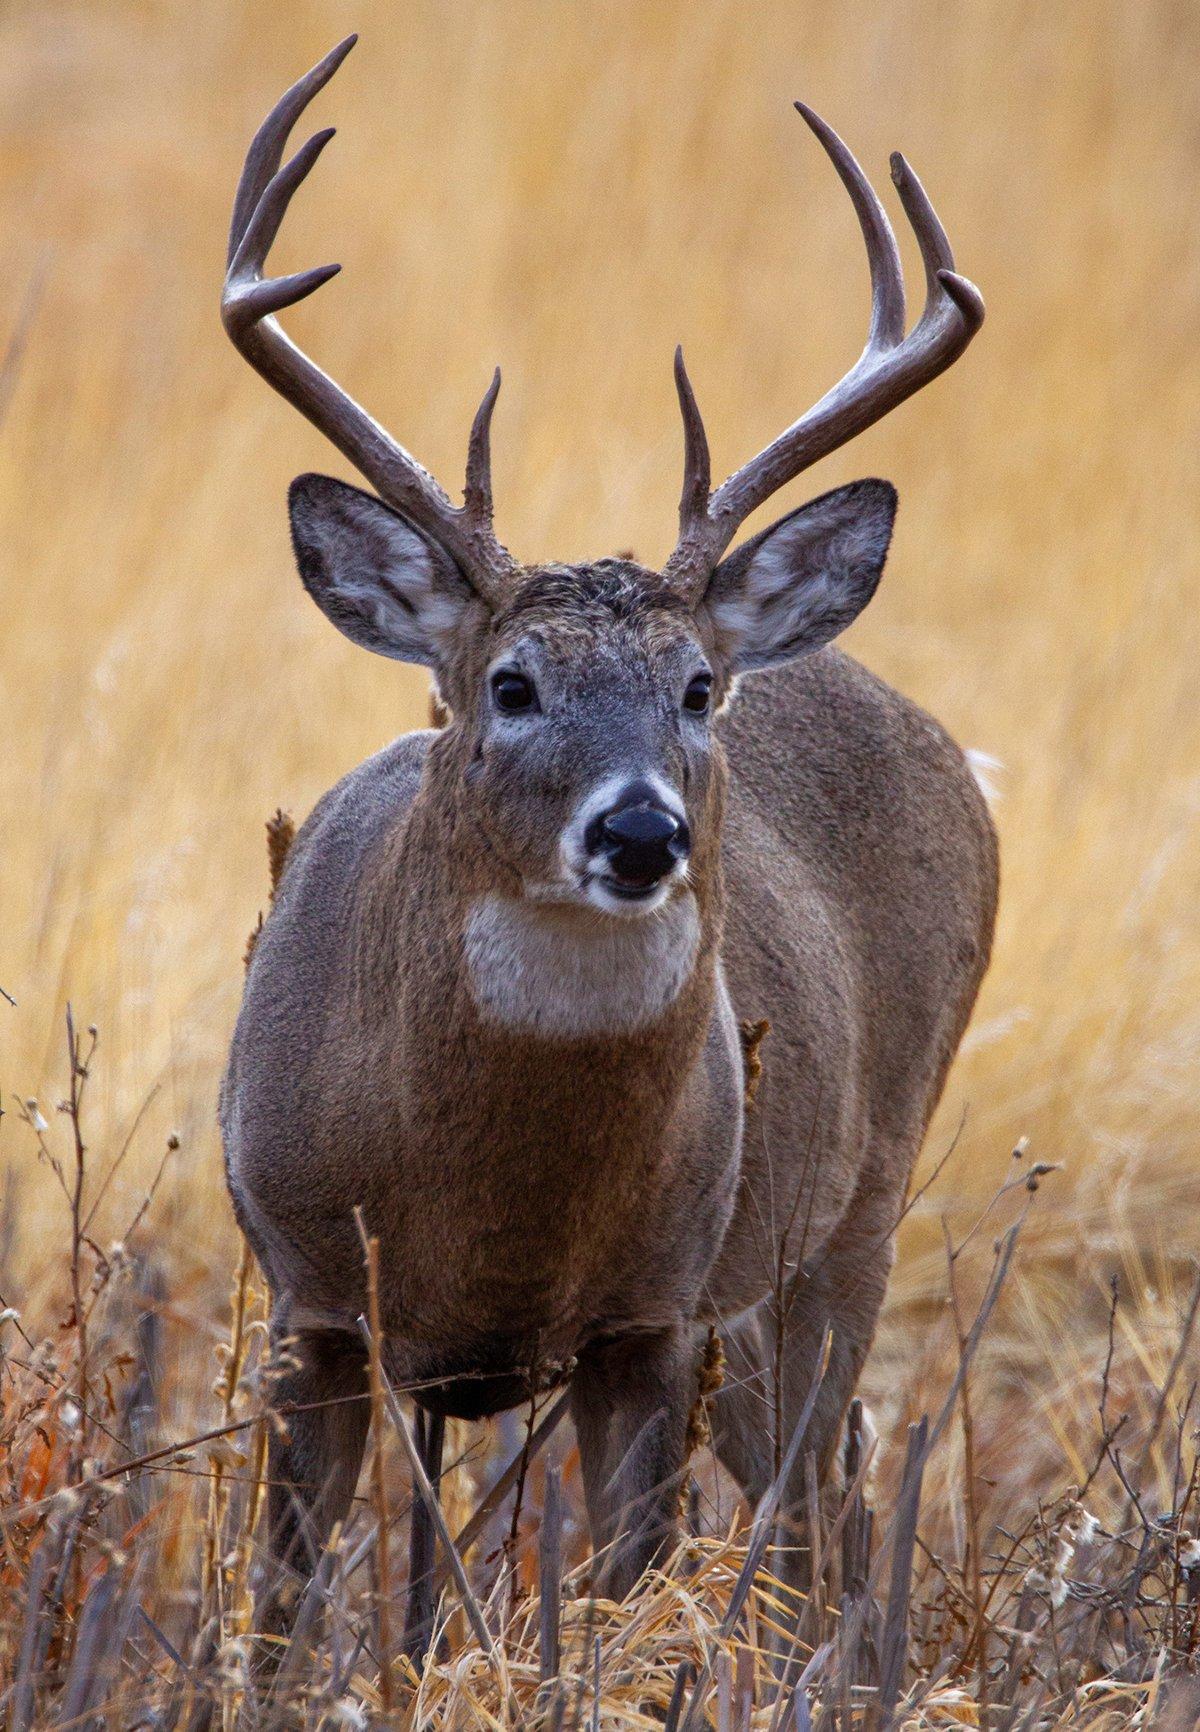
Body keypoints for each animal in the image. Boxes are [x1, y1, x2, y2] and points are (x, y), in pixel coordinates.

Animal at [219, 33, 997, 1641]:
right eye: (510, 686)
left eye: (696, 688)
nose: (640, 830)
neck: (479, 1193)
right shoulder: (311, 1301)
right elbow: (280, 1616)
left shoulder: (649, 1314)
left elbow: (616, 1612)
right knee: (825, 1492)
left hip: (853, 1209)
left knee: (824, 1496)